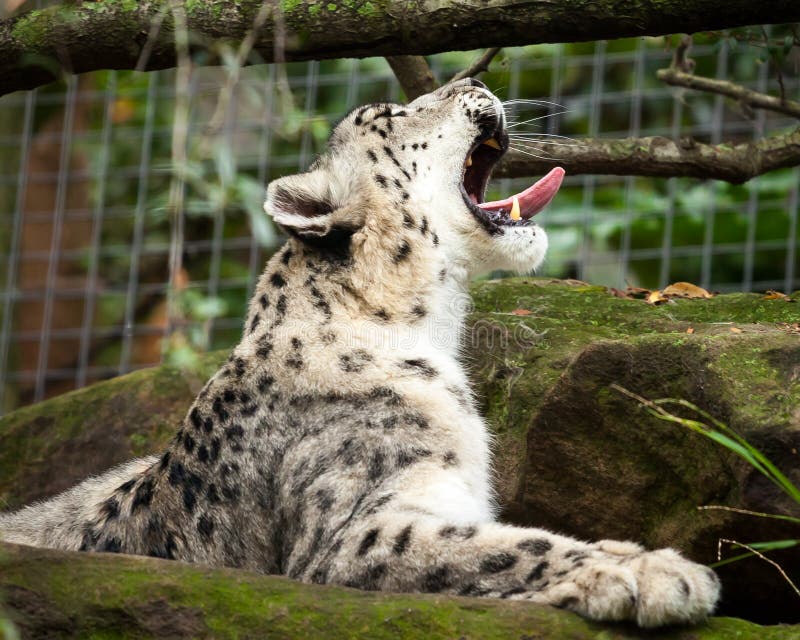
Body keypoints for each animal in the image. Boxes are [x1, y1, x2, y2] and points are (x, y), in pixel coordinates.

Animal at [0, 79, 719, 628]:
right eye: (388, 115)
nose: (476, 79)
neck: (430, 331)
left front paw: (633, 558)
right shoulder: (361, 528)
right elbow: (505, 548)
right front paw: (659, 573)